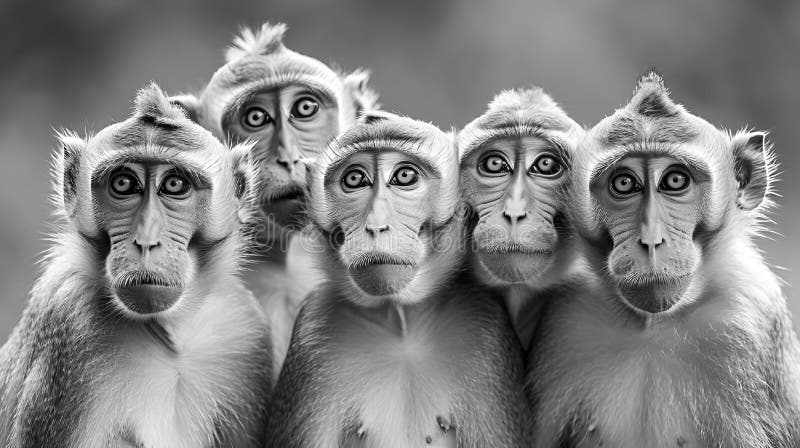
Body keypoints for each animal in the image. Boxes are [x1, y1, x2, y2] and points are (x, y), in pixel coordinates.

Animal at [0, 83, 273, 448]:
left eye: (175, 185)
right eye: (124, 184)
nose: (145, 241)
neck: (171, 337)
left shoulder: (244, 330)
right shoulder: (70, 322)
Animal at [266, 111, 533, 447]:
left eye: (404, 176)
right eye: (354, 180)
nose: (376, 226)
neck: (401, 324)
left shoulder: (484, 329)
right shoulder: (314, 334)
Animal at [526, 71, 800, 447]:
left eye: (675, 180)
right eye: (624, 183)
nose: (651, 240)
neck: (652, 327)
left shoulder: (746, 322)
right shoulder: (566, 316)